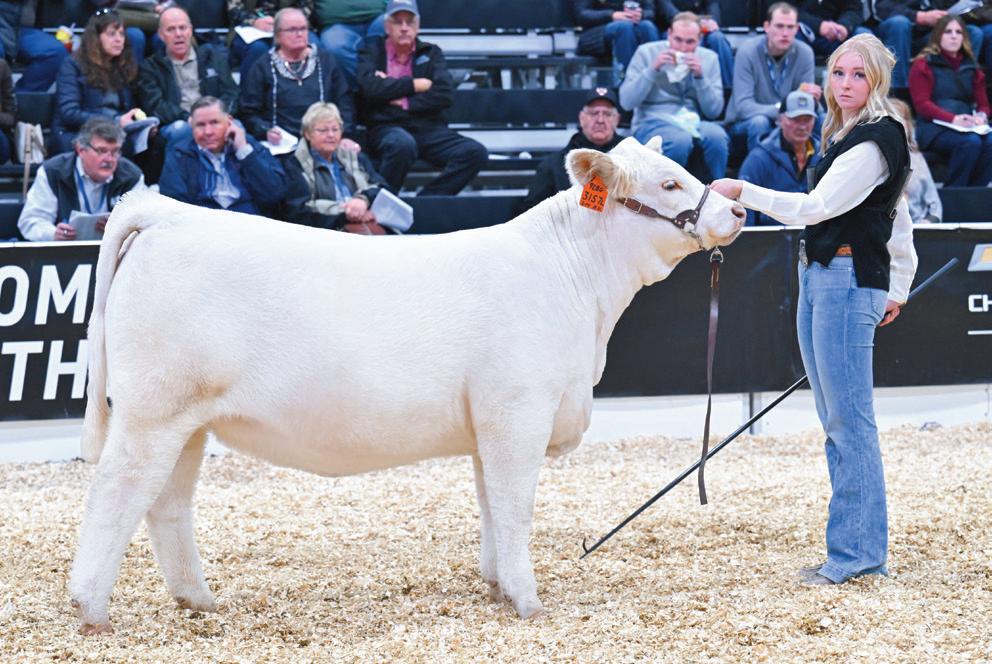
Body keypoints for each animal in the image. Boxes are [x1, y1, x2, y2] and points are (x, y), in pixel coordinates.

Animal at [69, 136, 745, 635]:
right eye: (669, 183)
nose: (737, 210)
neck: (578, 290)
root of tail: (165, 213)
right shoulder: (519, 412)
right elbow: (516, 506)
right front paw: (528, 601)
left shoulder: (488, 423)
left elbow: (491, 504)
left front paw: (497, 586)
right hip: (153, 411)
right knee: (114, 492)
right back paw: (91, 609)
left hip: (189, 420)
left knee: (167, 503)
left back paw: (198, 601)